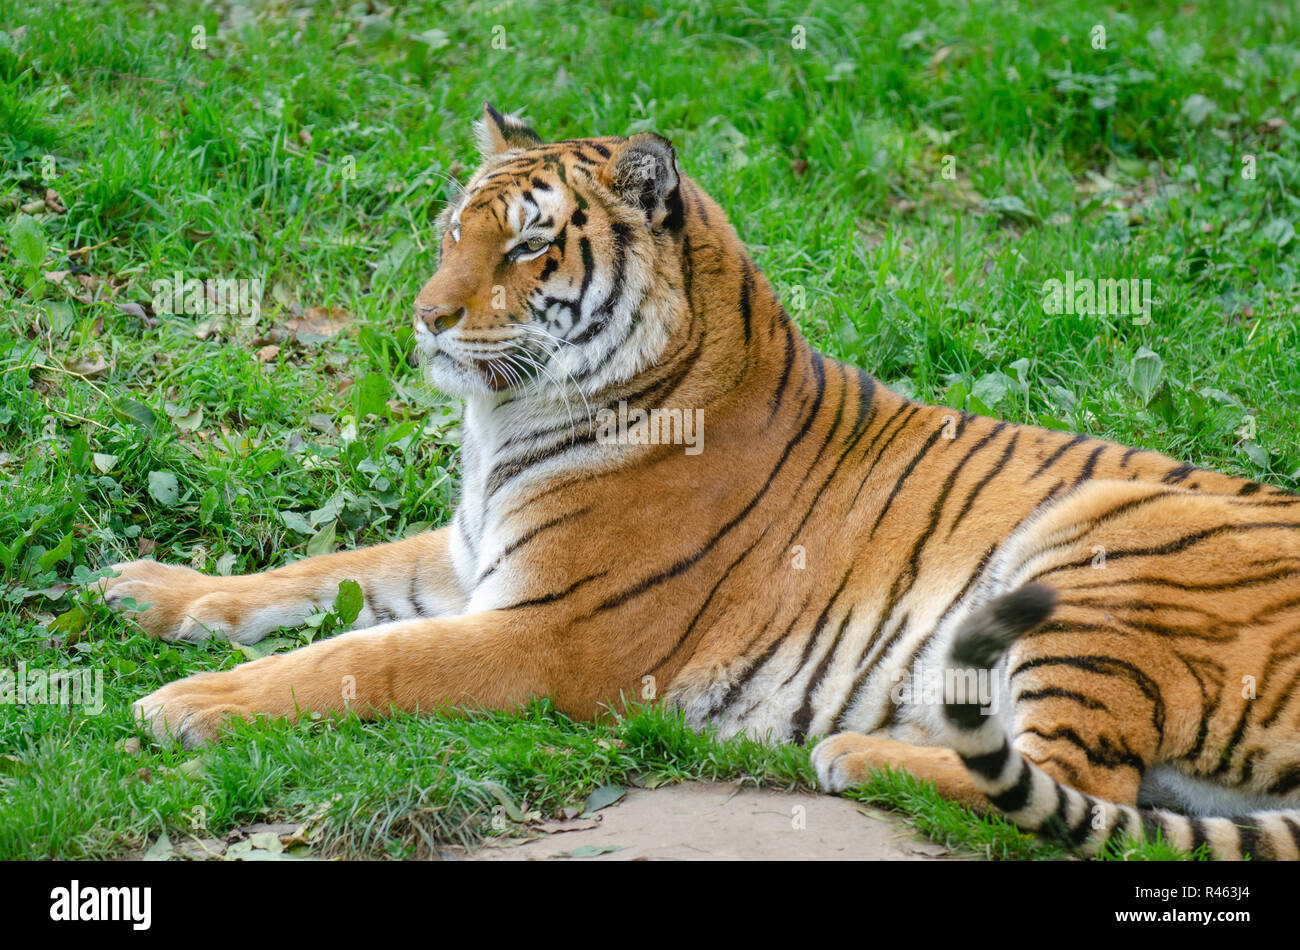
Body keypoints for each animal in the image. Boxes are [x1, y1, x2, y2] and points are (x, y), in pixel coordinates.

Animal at [100, 103, 1300, 861]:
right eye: (452, 230)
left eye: (527, 248)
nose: (427, 320)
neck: (506, 424)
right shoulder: (465, 554)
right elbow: (314, 573)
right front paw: (145, 591)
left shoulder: (547, 631)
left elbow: (361, 658)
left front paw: (187, 703)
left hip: (1105, 545)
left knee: (1085, 788)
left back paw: (854, 751)